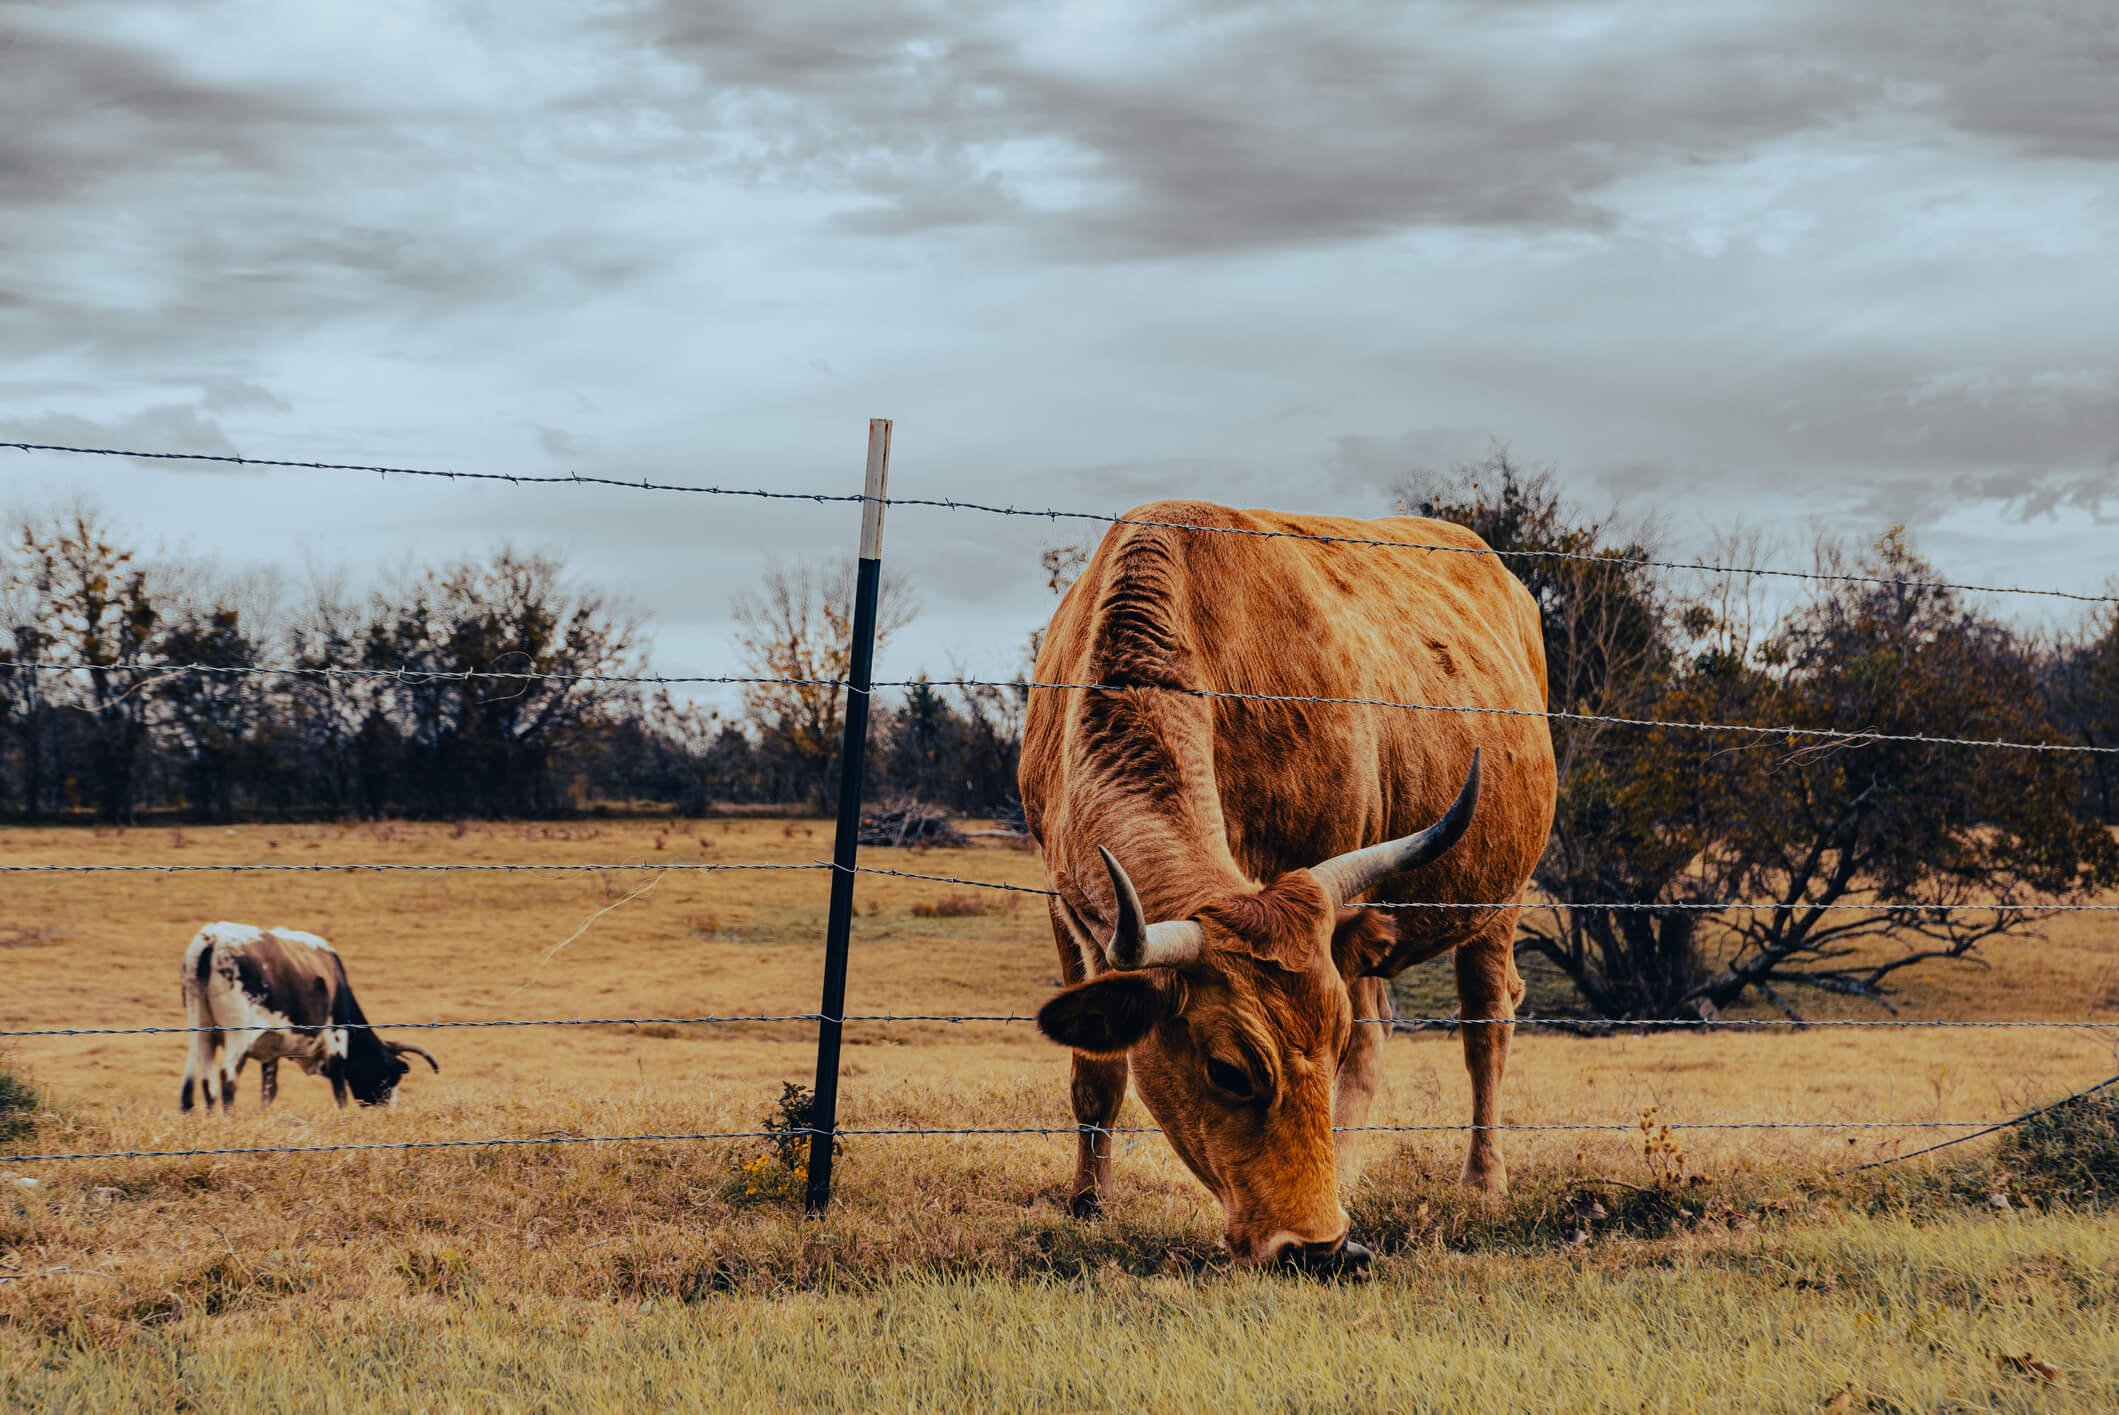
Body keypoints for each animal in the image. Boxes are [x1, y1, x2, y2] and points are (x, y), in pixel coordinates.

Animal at [179, 922, 437, 1111]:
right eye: (389, 1078)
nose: (386, 1111)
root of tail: (213, 937)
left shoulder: (270, 1051)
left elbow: (269, 1091)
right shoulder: (336, 1040)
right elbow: (339, 1089)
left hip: (201, 1029)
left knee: (208, 1082)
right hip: (239, 1034)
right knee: (228, 1077)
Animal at [1021, 502, 1555, 1274]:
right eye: (1227, 1070)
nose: (1321, 1246)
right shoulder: (1067, 908)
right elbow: (1096, 1076)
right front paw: (1088, 1203)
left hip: (1497, 900)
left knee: (1485, 1026)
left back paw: (1482, 1180)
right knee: (1382, 1030)